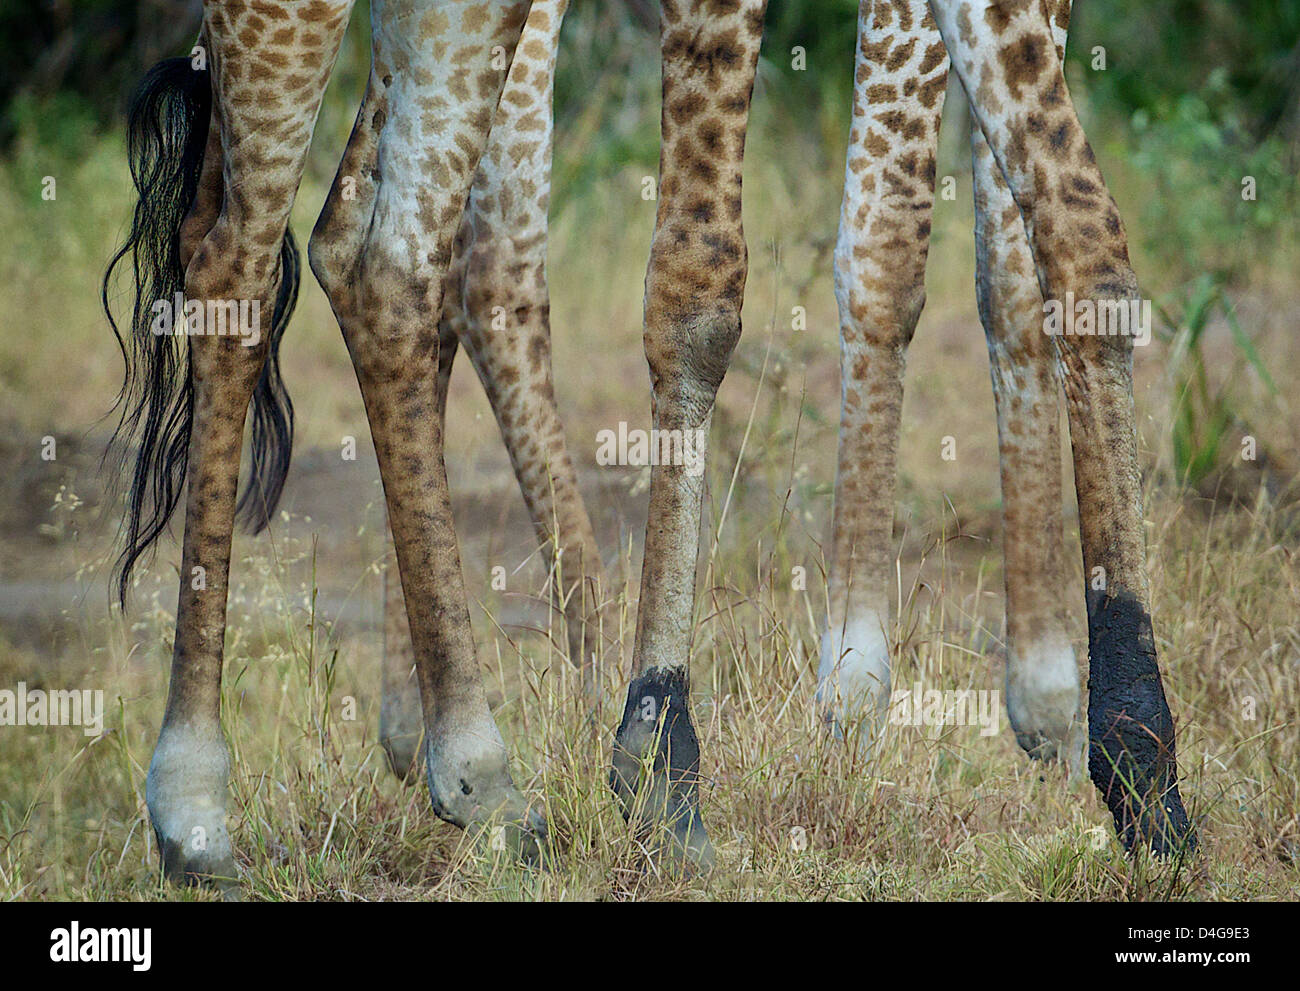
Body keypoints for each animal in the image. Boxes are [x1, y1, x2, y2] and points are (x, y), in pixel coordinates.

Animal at [102, 0, 1194, 890]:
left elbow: (1060, 243)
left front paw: (1123, 752)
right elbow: (717, 284)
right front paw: (685, 740)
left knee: (376, 257)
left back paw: (466, 756)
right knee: (255, 264)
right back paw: (199, 803)